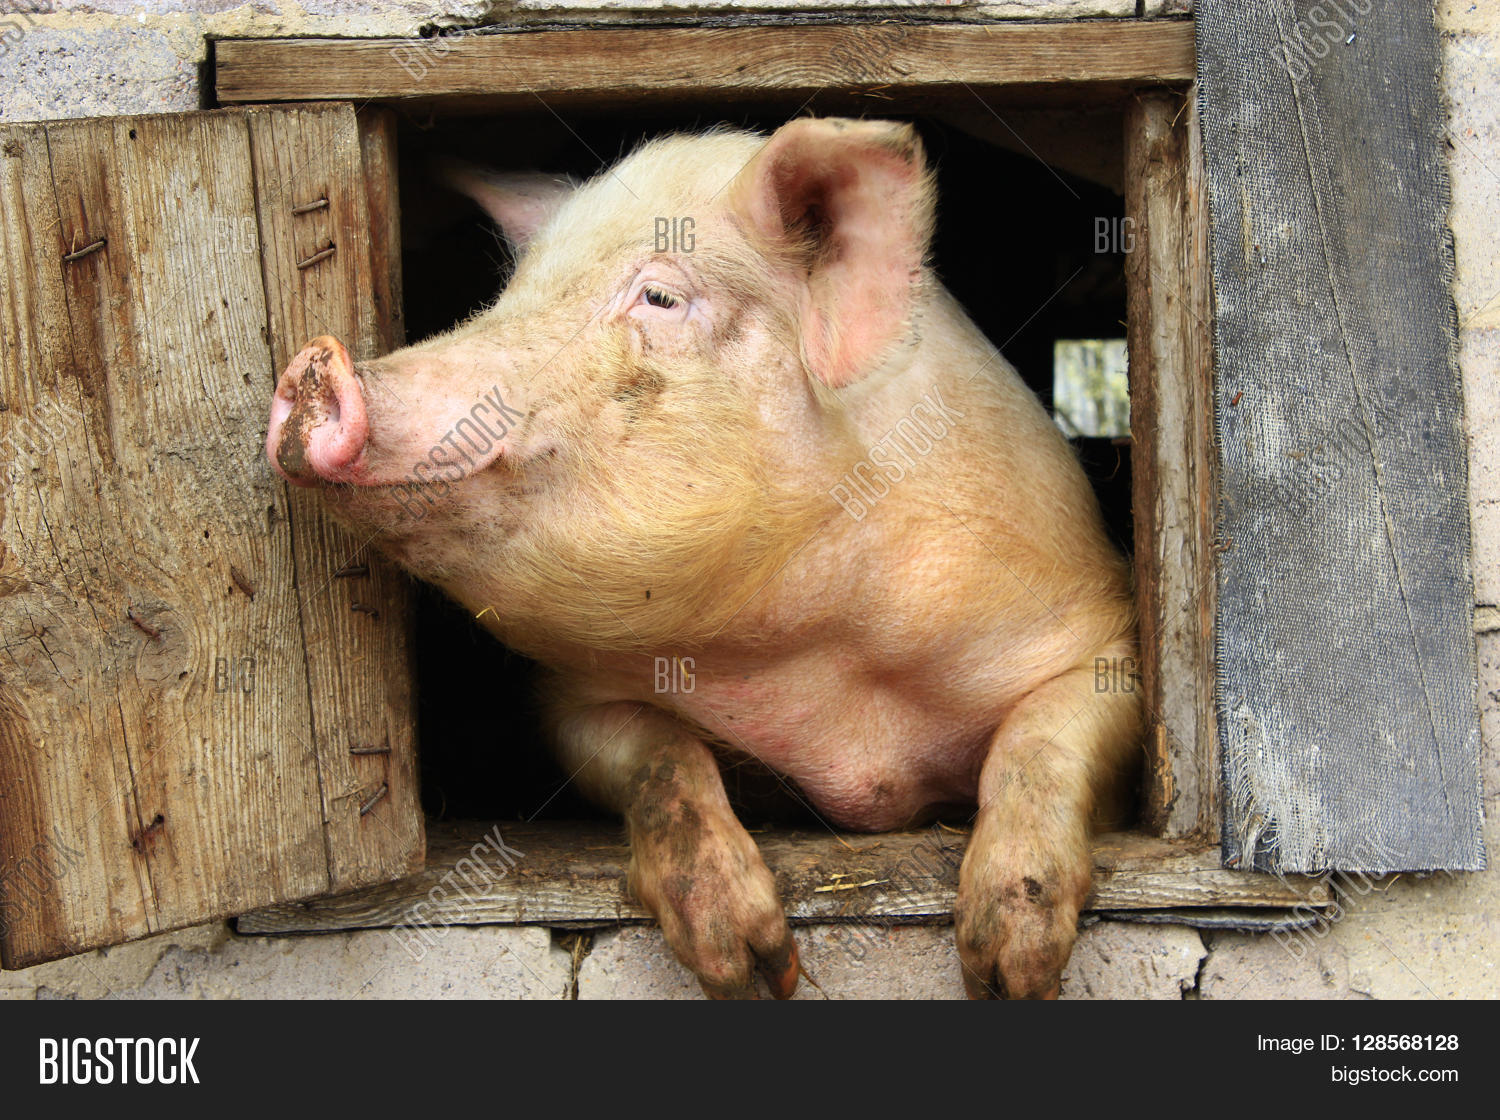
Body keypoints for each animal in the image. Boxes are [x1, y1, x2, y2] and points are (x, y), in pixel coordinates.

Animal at [265, 118, 1141, 999]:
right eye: (511, 295)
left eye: (660, 297)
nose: (316, 366)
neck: (826, 672)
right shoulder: (573, 702)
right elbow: (661, 760)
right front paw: (753, 969)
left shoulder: (1099, 630)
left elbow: (1040, 743)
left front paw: (1009, 968)